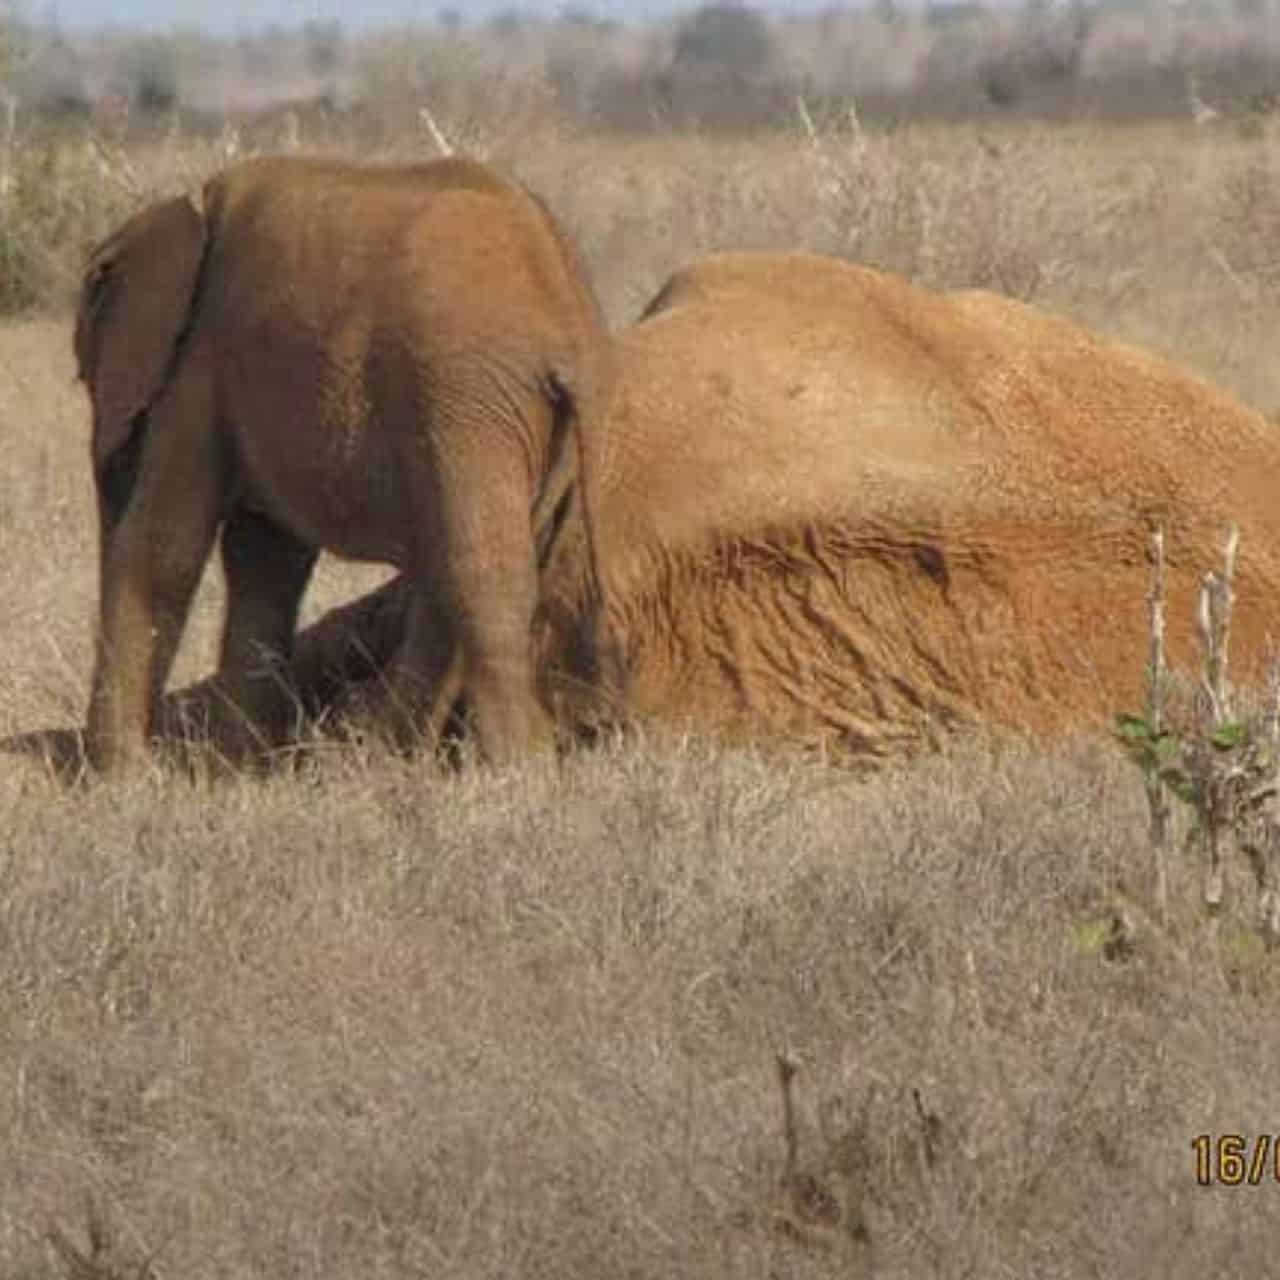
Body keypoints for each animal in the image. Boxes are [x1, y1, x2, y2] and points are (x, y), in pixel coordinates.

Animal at [73, 153, 611, 773]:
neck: (185, 208)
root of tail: (567, 315)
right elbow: (267, 561)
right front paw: (238, 769)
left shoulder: (198, 366)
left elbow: (165, 548)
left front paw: (120, 777)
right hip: (518, 425)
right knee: (458, 568)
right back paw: (386, 757)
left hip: (469, 400)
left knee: (480, 567)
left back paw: (514, 767)